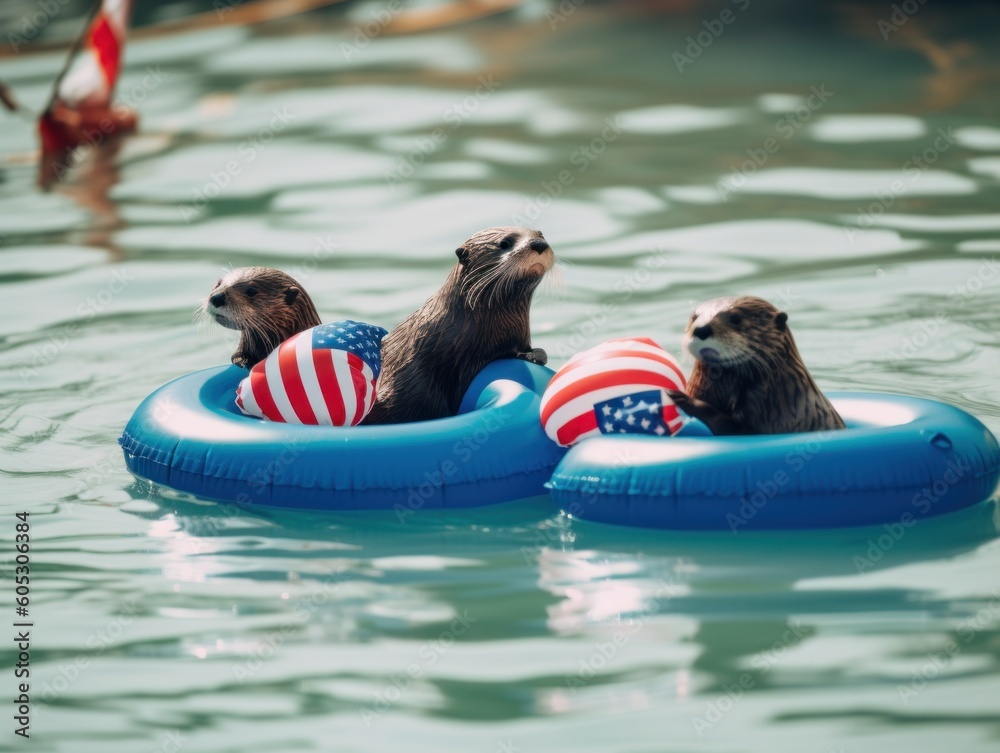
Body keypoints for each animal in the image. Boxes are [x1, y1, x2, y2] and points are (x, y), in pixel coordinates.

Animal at [666, 296, 846, 435]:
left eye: (736, 318)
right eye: (694, 317)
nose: (701, 329)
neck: (783, 396)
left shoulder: (776, 419)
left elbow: (729, 426)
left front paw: (682, 398)